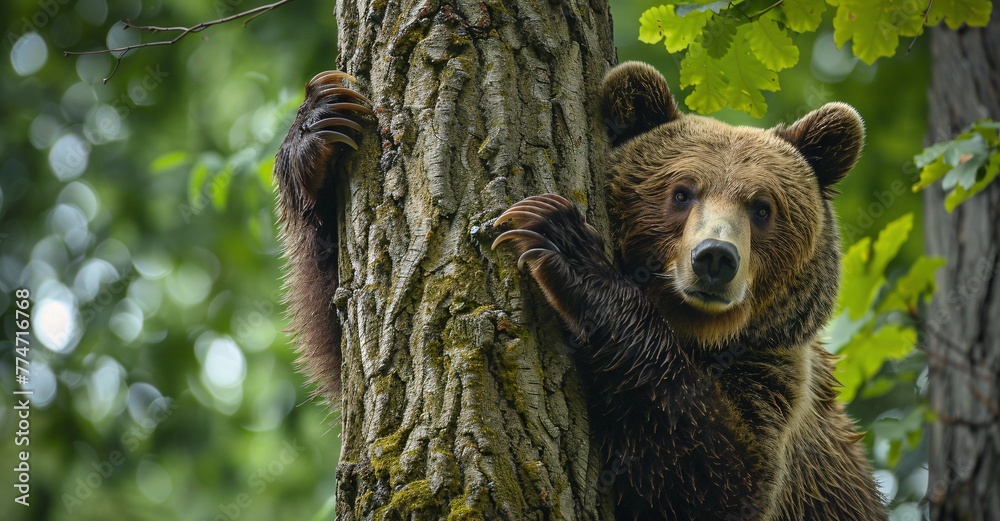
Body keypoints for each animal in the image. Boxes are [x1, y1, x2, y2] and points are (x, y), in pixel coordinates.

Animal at [492, 61, 886, 519]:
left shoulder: (776, 376)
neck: (699, 331)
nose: (715, 257)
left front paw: (561, 240)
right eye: (681, 192)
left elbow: (724, 476)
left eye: (762, 208)